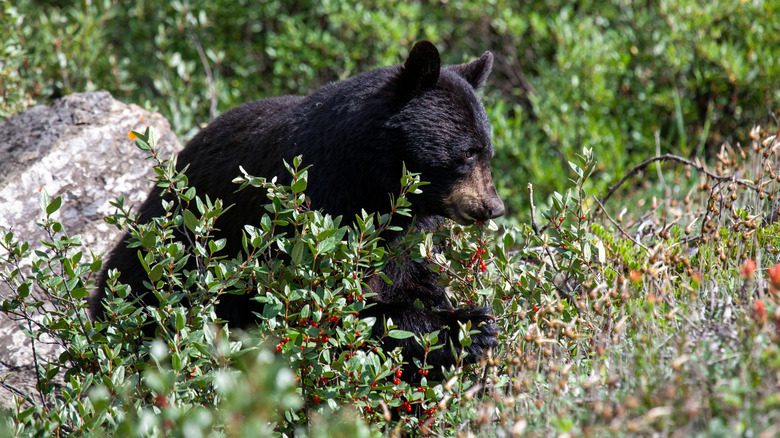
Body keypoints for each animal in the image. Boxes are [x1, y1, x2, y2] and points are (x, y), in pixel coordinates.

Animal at [90, 40, 505, 381]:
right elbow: (330, 304)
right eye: (468, 152)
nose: (494, 207)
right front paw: (465, 328)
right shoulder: (312, 212)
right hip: (161, 263)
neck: (369, 175)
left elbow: (411, 272)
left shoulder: (410, 227)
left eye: (488, 151)